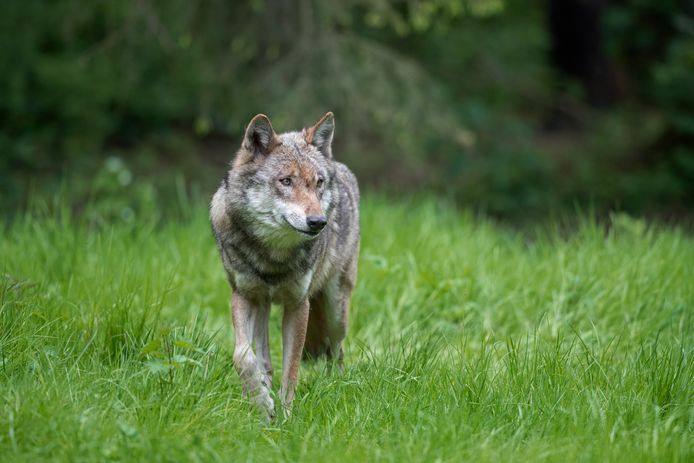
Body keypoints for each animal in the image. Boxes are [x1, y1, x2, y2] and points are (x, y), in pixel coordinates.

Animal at [210, 112, 360, 419]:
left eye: (318, 182)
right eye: (286, 181)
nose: (318, 222)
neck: (273, 257)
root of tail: (340, 166)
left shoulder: (298, 305)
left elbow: (291, 370)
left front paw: (286, 418)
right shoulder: (242, 295)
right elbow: (242, 355)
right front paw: (260, 402)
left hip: (336, 310)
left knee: (336, 350)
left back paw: (335, 384)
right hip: (263, 304)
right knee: (264, 356)